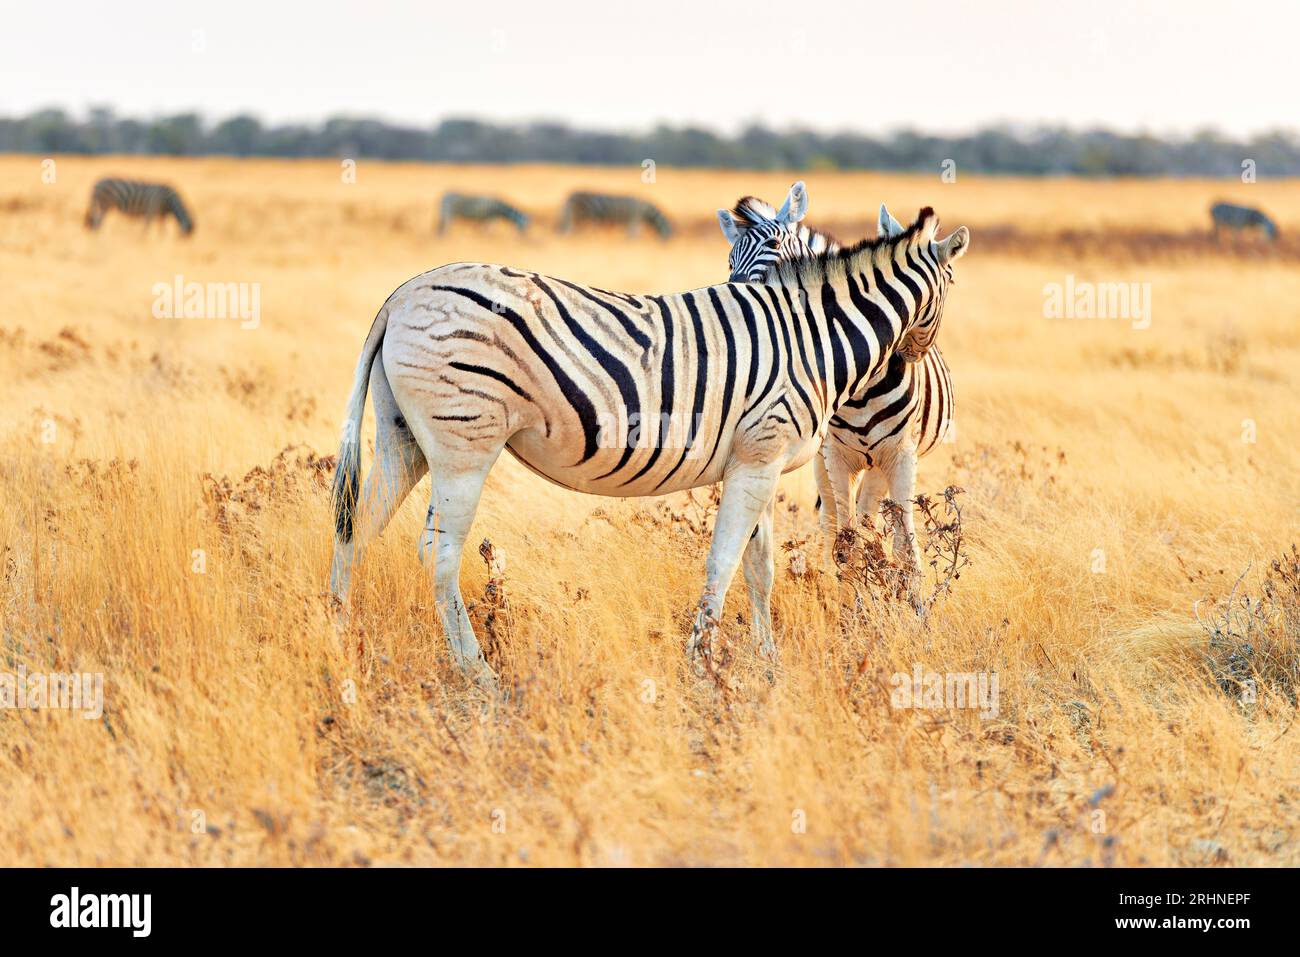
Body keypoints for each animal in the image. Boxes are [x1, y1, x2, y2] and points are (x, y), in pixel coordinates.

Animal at [718, 185, 954, 579]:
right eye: (729, 259)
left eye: (774, 245)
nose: (733, 296)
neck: (865, 389)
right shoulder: (832, 453)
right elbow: (845, 536)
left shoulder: (900, 451)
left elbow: (902, 539)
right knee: (837, 519)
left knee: (872, 513)